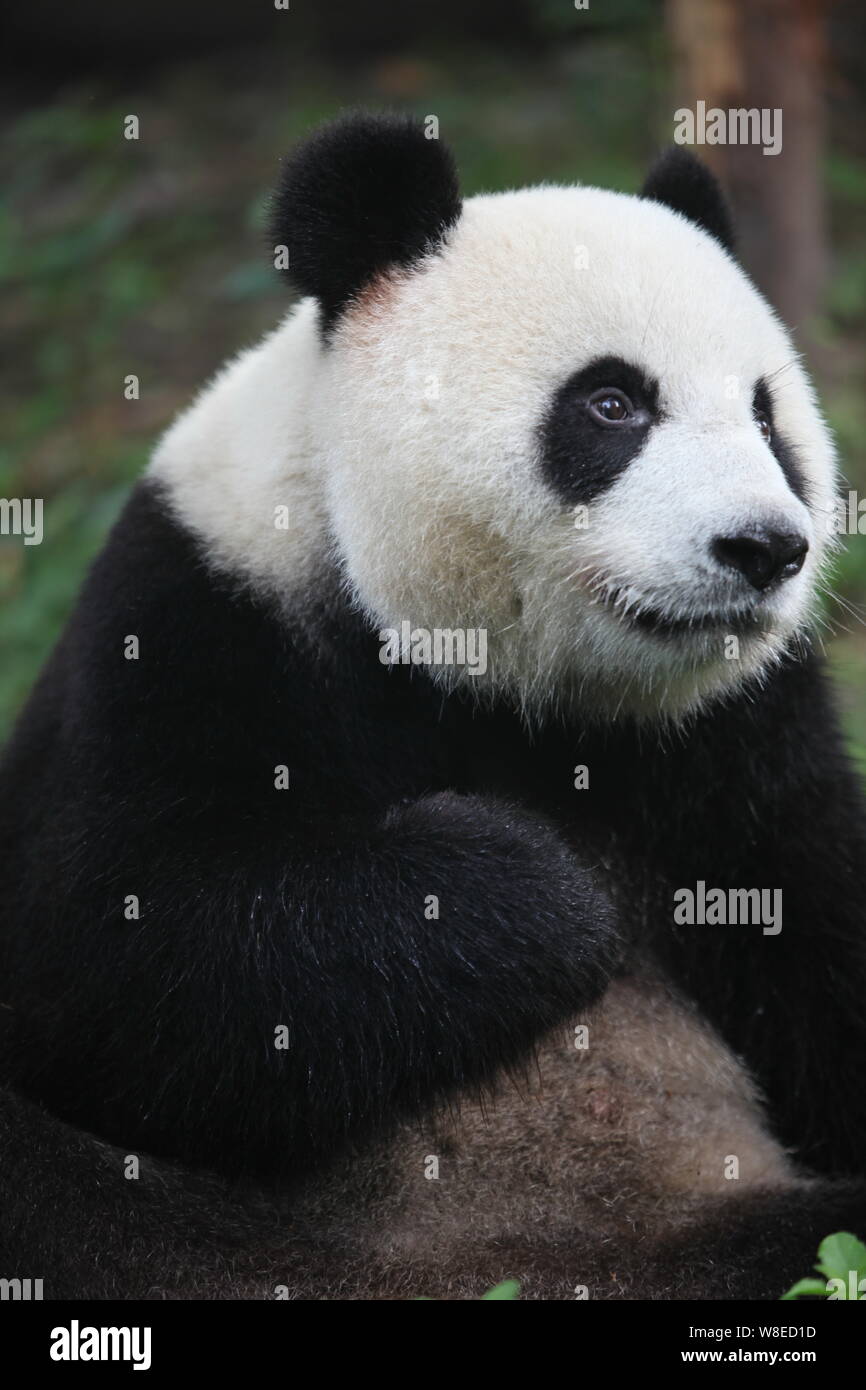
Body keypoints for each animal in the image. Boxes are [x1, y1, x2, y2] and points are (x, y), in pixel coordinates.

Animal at [1, 111, 865, 1302]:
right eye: (613, 404)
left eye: (765, 416)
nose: (764, 549)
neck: (505, 690)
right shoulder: (192, 620)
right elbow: (108, 946)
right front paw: (534, 887)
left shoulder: (741, 736)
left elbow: (820, 946)